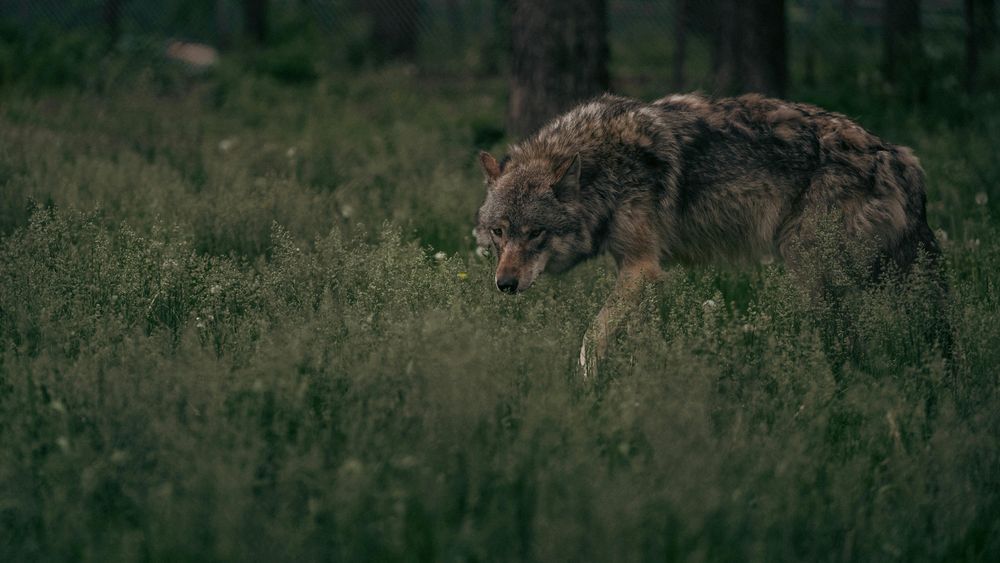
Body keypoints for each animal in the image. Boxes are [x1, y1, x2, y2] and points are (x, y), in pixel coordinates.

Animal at [474, 93, 942, 378]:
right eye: (499, 232)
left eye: (535, 232)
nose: (505, 285)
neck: (602, 169)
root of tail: (899, 157)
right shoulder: (639, 273)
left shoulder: (642, 267)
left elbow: (591, 338)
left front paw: (586, 389)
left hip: (814, 267)